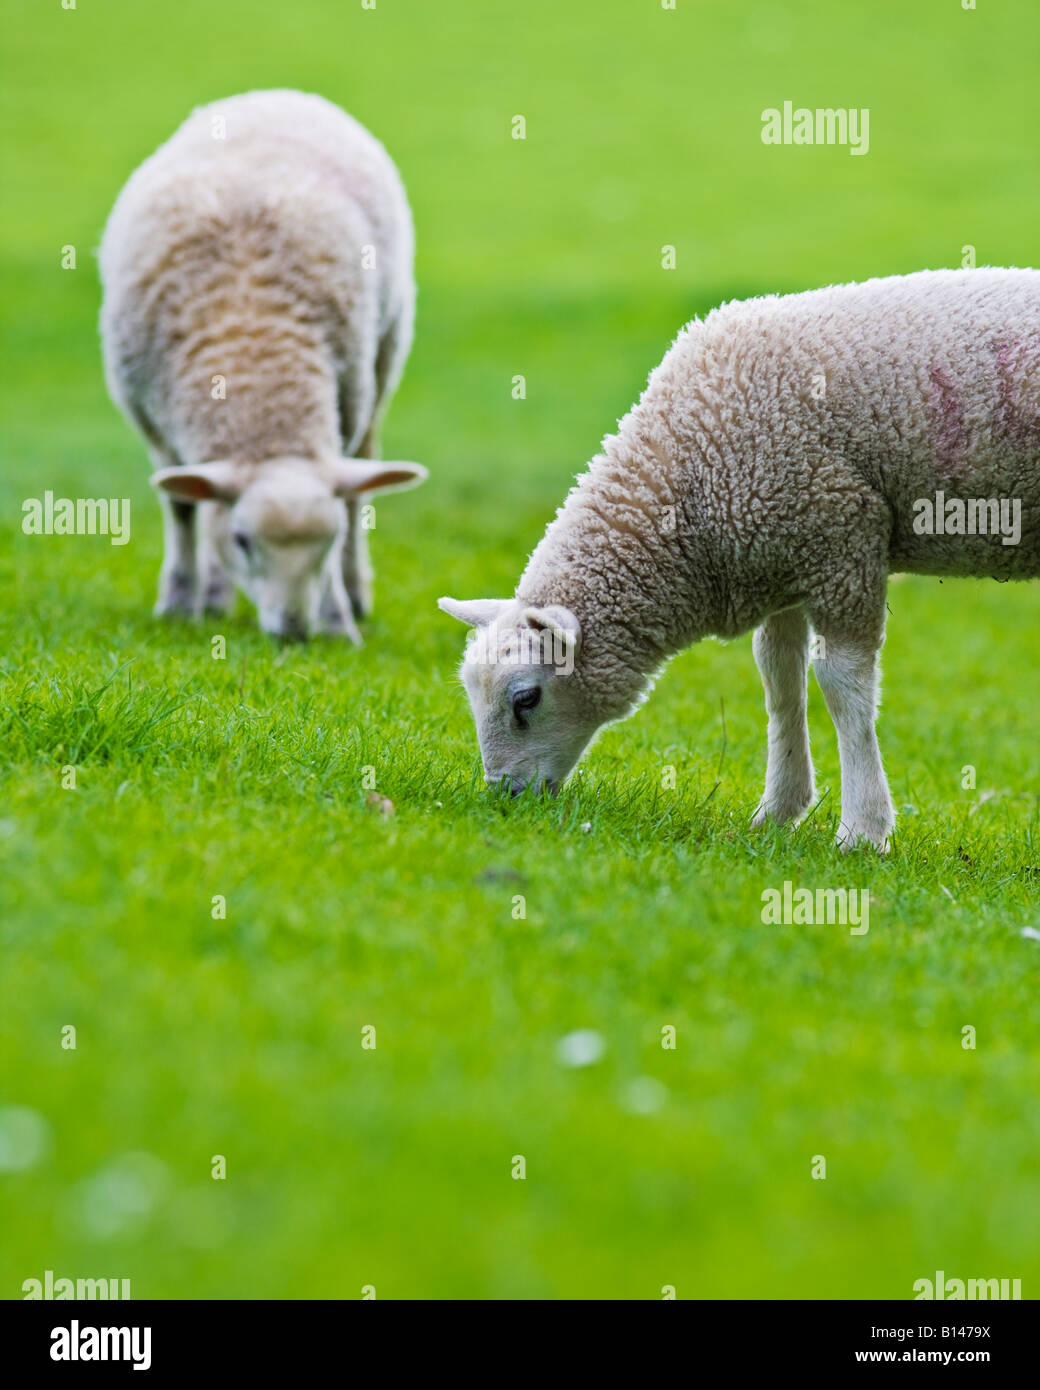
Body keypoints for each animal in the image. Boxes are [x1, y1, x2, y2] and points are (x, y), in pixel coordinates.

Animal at [99, 89, 426, 641]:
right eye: (243, 540)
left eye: (326, 541)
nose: (293, 630)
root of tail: (280, 95)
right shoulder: (155, 426)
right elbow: (182, 507)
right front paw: (180, 602)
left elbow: (344, 508)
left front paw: (337, 620)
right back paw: (212, 598)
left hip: (382, 361)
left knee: (360, 482)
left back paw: (355, 593)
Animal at [440, 267, 1040, 850]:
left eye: (526, 698)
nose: (505, 797)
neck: (684, 484)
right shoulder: (781, 555)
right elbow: (780, 681)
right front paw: (779, 811)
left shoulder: (840, 540)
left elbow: (842, 688)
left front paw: (862, 831)